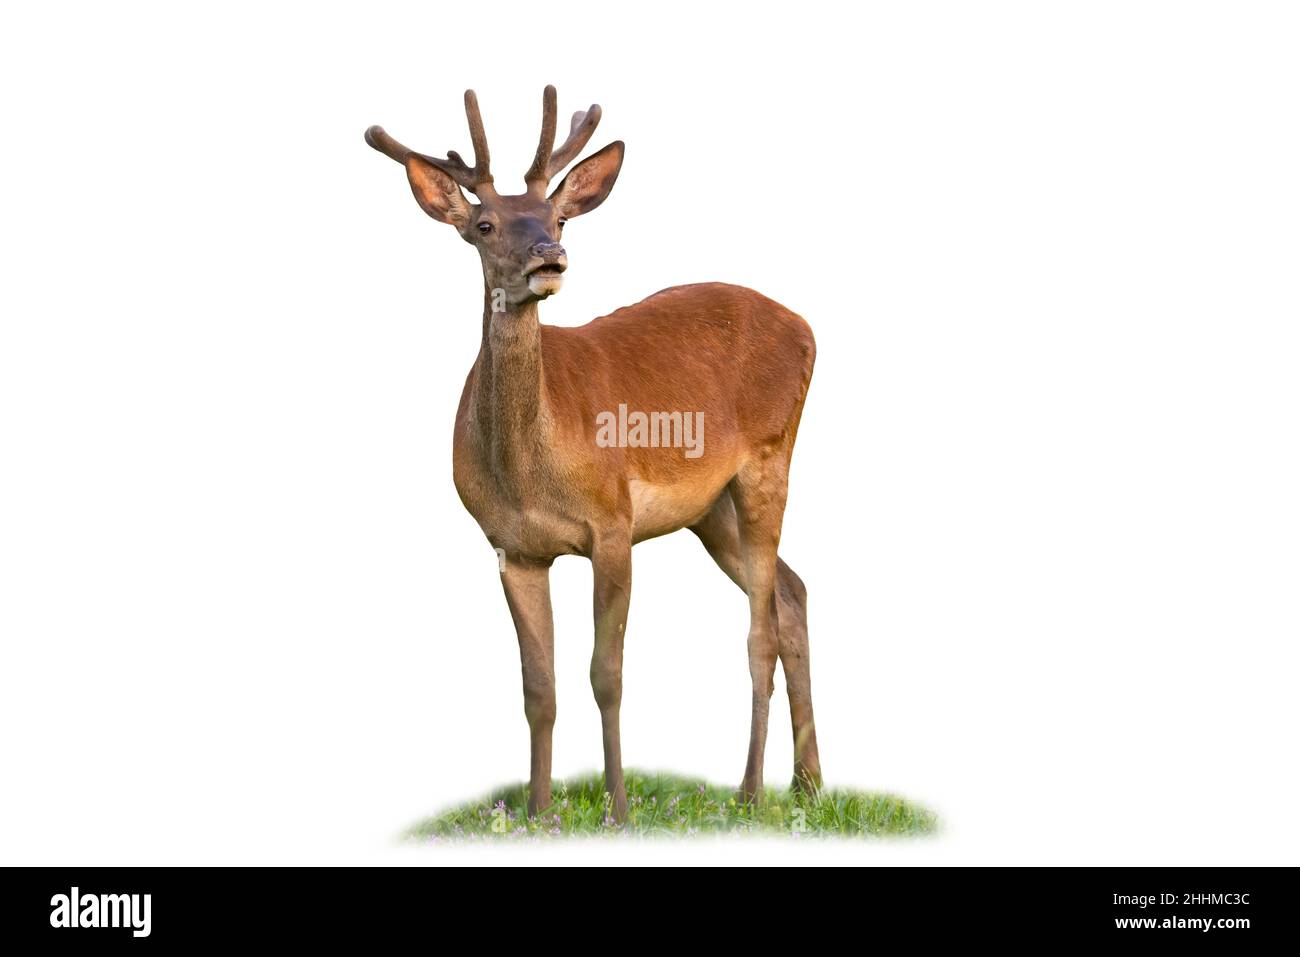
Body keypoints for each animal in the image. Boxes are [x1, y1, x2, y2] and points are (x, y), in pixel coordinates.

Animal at [365, 87, 820, 821]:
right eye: (485, 224)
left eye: (557, 217)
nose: (549, 256)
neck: (529, 472)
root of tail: (806, 325)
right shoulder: (513, 546)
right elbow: (538, 686)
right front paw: (538, 812)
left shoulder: (612, 522)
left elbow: (606, 673)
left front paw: (618, 809)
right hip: (708, 508)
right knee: (792, 591)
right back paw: (808, 783)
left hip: (769, 457)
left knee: (761, 631)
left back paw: (752, 792)